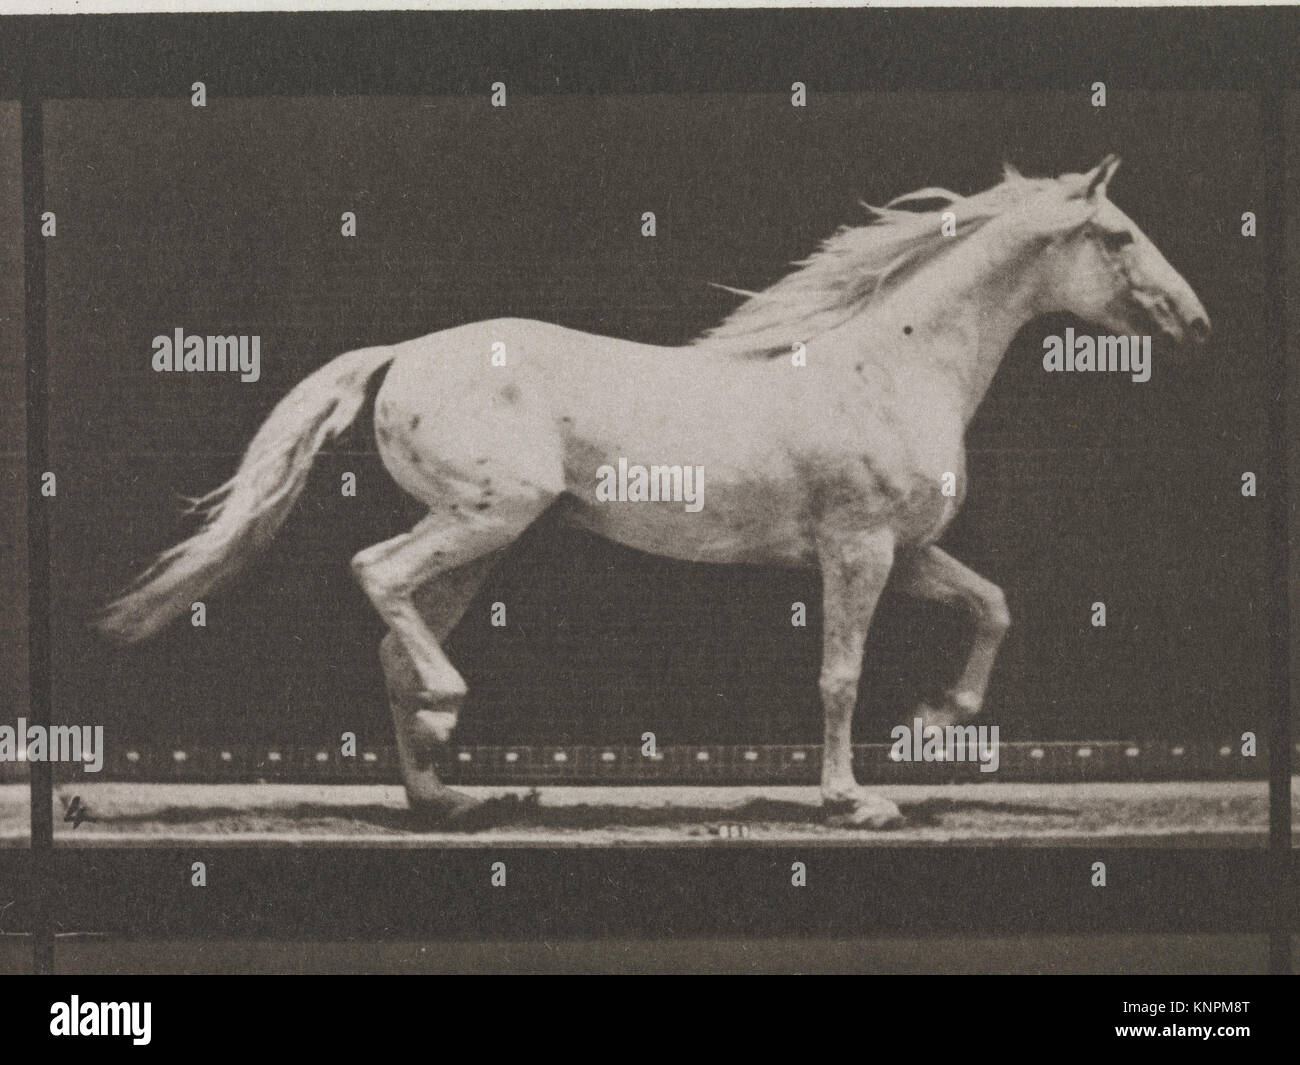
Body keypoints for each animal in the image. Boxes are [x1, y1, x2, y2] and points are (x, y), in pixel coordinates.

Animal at [95, 155, 1210, 828]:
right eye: (1116, 237)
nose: (1193, 321)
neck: (892, 367)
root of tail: (402, 352)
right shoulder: (856, 550)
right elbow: (839, 675)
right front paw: (854, 799)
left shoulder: (908, 551)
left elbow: (992, 606)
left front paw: (937, 724)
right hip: (486, 514)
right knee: (376, 575)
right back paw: (453, 725)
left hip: (481, 535)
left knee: (394, 632)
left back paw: (446, 798)